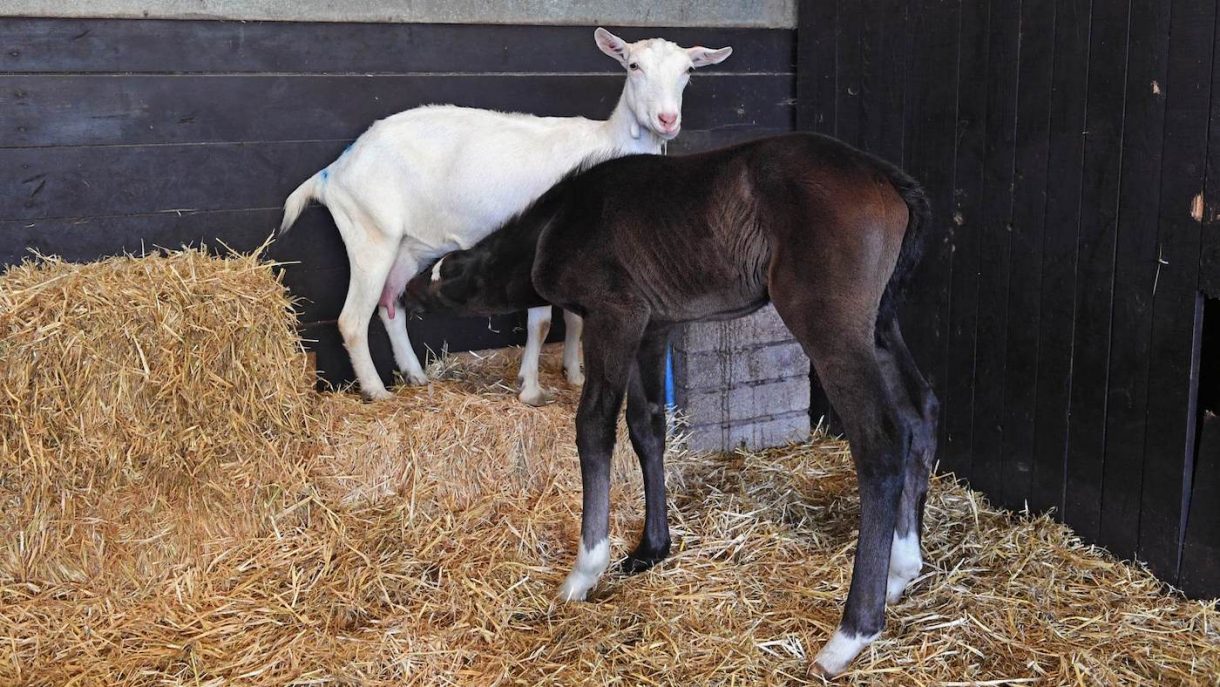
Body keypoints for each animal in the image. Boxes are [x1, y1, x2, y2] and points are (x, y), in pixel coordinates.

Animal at [277, 28, 732, 404]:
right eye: (633, 65)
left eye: (688, 70)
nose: (667, 120)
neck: (604, 144)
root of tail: (333, 172)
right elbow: (542, 323)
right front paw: (531, 389)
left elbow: (575, 318)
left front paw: (575, 376)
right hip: (370, 234)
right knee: (352, 319)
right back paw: (377, 392)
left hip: (409, 246)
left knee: (393, 304)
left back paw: (416, 376)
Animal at [401, 133, 938, 677]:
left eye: (441, 275)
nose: (402, 294)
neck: (557, 223)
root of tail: (887, 177)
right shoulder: (653, 326)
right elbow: (647, 427)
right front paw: (651, 549)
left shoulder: (614, 317)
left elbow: (594, 426)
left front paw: (585, 571)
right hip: (878, 323)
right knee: (920, 411)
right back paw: (901, 569)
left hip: (827, 322)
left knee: (882, 439)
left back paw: (850, 636)